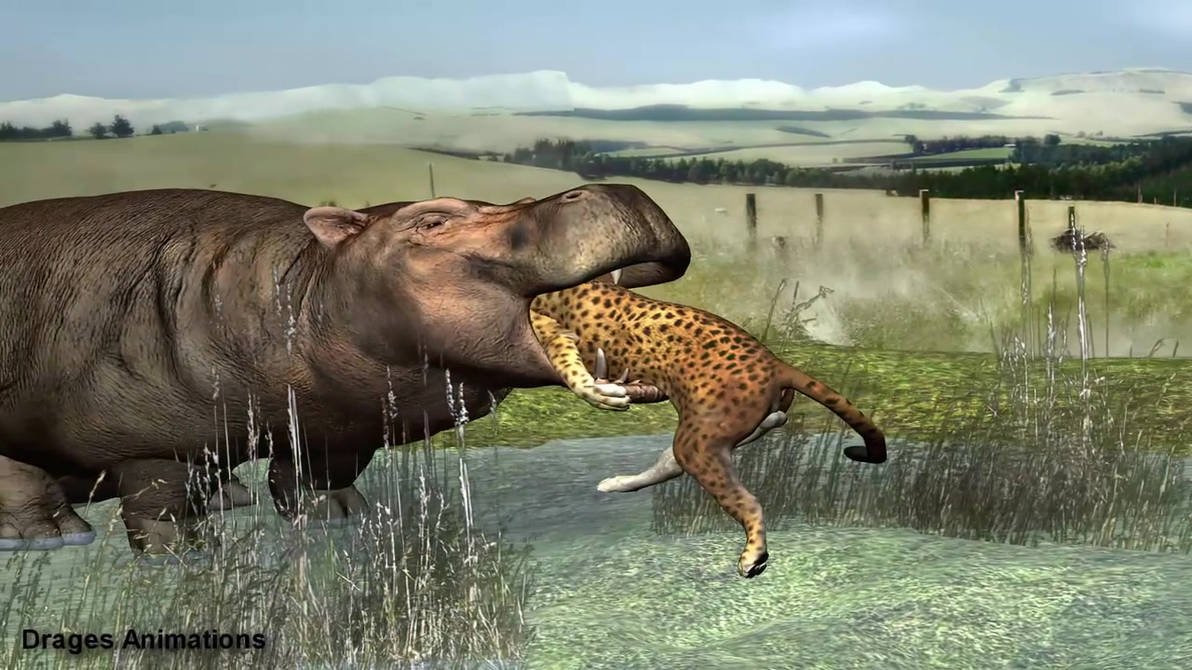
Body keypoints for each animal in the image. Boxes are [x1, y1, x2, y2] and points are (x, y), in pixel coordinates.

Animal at [0, 185, 690, 553]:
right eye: (431, 218)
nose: (614, 188)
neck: (311, 283)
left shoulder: (339, 419)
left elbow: (318, 472)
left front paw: (344, 516)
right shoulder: (145, 439)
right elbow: (157, 502)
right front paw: (188, 556)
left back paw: (228, 497)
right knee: (23, 478)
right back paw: (54, 537)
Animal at [530, 276, 887, 578]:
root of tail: (775, 363)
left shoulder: (544, 320)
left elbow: (565, 357)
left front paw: (593, 389)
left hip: (698, 442)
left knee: (745, 499)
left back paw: (753, 556)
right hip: (713, 433)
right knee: (685, 457)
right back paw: (618, 480)